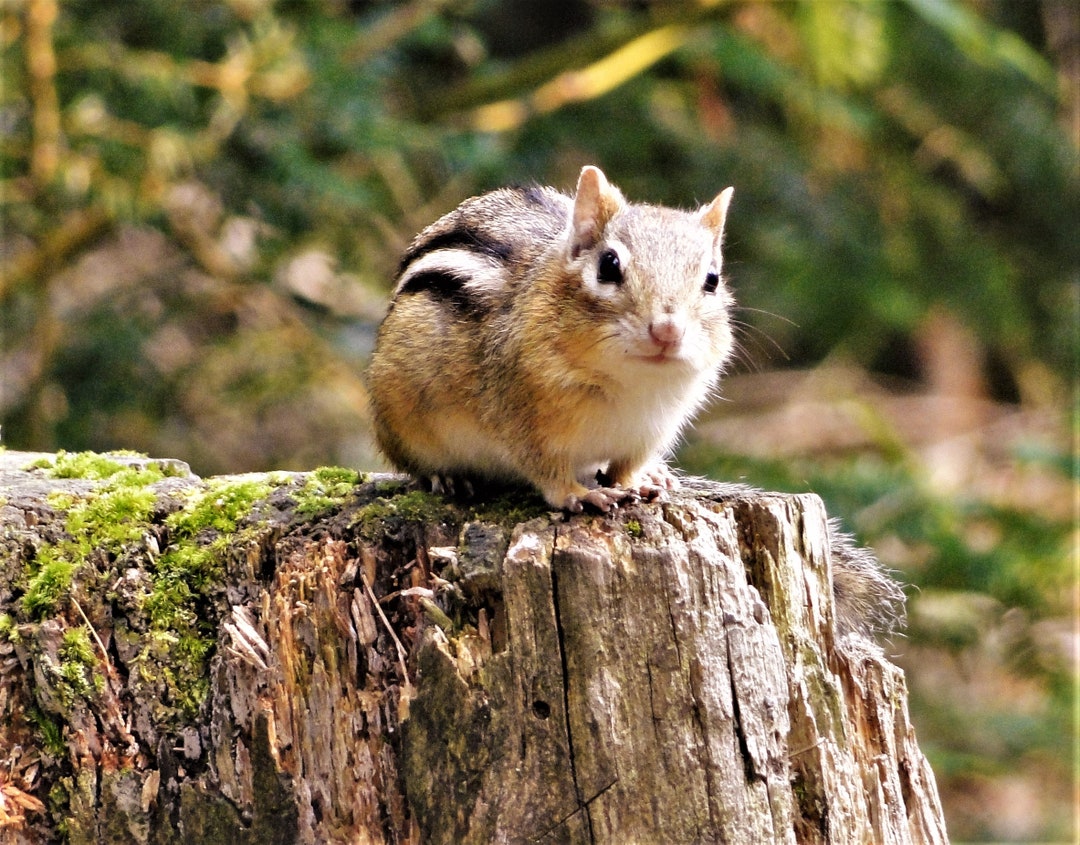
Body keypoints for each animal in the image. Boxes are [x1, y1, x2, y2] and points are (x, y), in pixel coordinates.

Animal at [367, 165, 904, 637]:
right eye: (609, 266)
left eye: (712, 279)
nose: (667, 329)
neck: (628, 384)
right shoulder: (517, 412)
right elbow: (547, 472)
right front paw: (581, 495)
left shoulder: (655, 426)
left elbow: (627, 464)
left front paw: (640, 481)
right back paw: (448, 477)